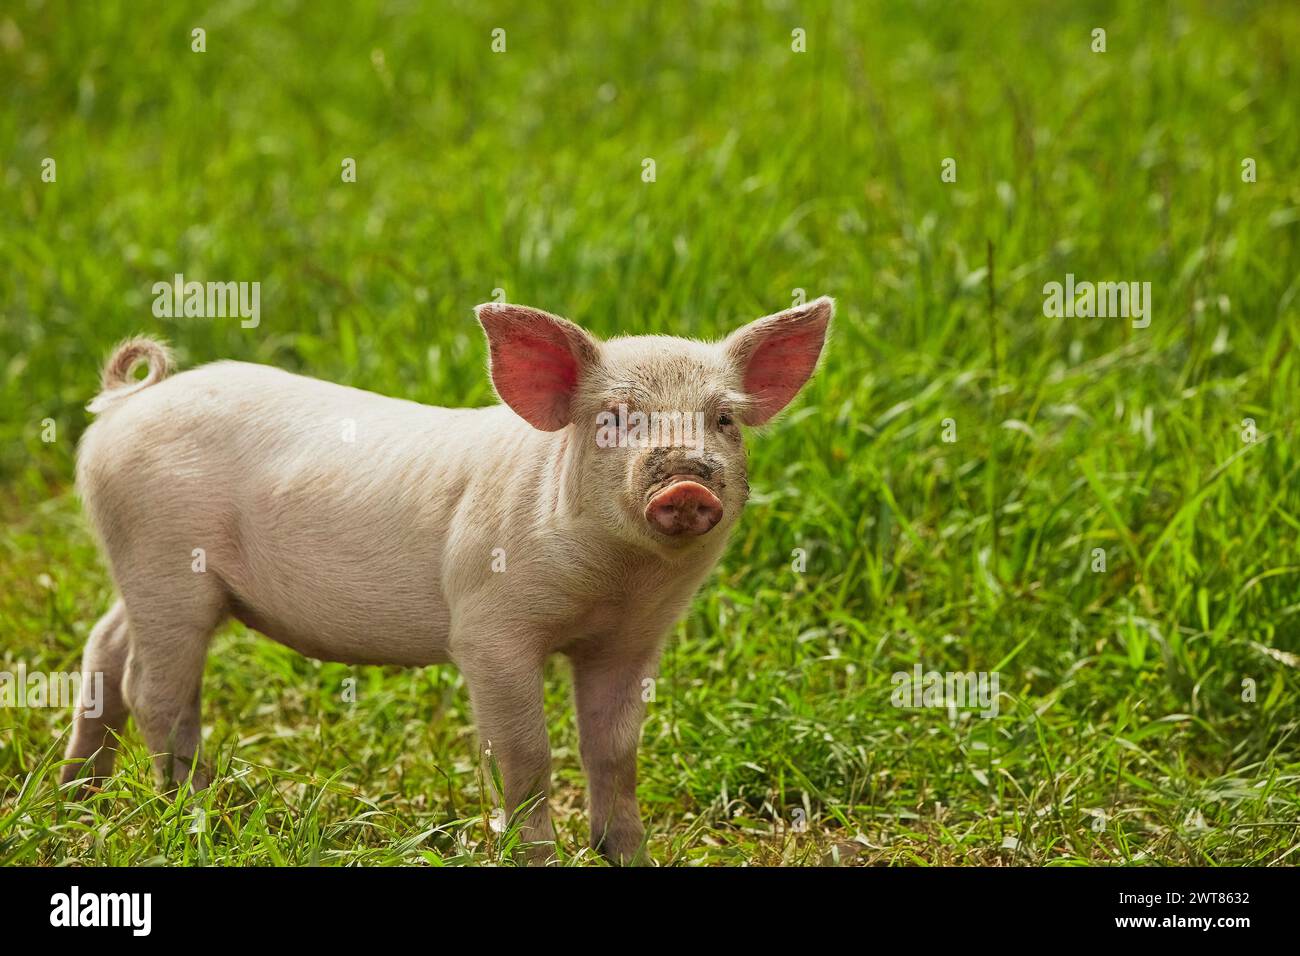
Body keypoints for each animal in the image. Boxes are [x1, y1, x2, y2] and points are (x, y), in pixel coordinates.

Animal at [62, 296, 832, 864]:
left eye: (724, 419)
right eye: (613, 418)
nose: (687, 483)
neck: (618, 584)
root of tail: (123, 404)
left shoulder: (633, 643)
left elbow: (615, 753)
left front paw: (630, 858)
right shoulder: (489, 629)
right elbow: (526, 754)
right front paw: (537, 858)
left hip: (143, 570)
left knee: (105, 648)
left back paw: (80, 799)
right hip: (164, 561)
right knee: (152, 688)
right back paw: (199, 817)